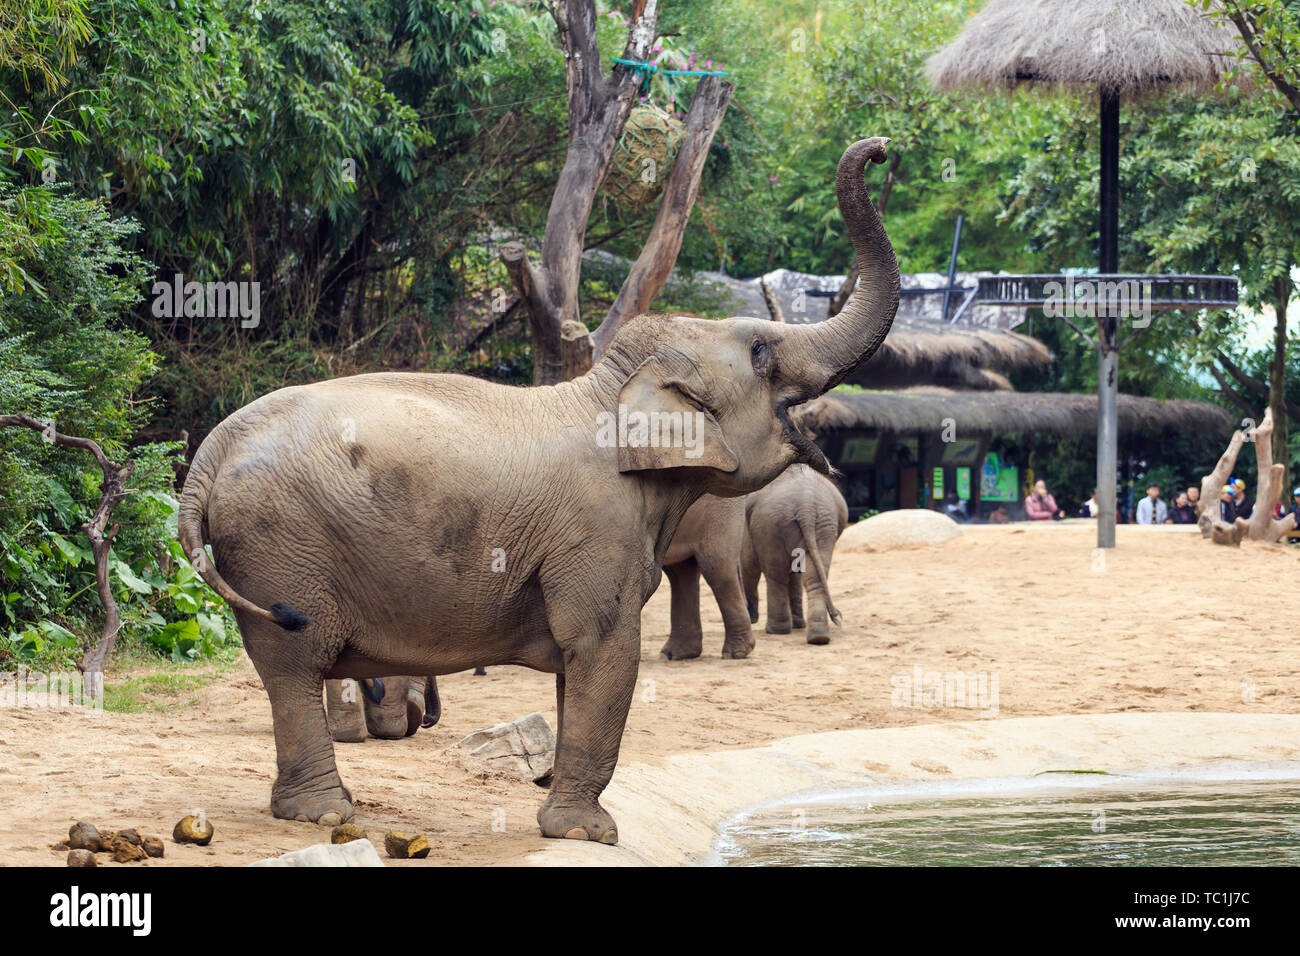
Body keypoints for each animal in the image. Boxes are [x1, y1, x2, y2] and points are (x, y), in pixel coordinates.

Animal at [741, 464, 848, 645]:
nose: (752, 617)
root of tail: (806, 506)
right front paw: (798, 625)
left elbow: (749, 564)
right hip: (824, 524)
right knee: (815, 576)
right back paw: (818, 637)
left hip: (770, 526)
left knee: (776, 576)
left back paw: (776, 631)